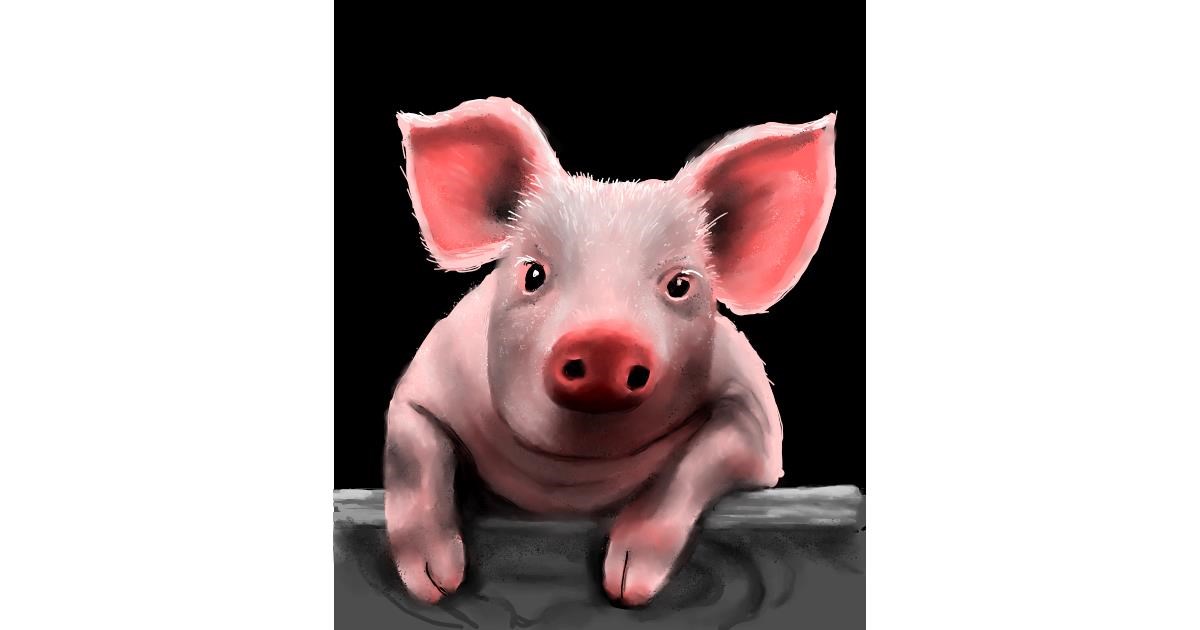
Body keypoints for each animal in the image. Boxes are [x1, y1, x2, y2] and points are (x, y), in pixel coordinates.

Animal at [385, 97, 836, 607]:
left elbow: (697, 462)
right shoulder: (421, 386)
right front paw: (436, 586)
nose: (604, 342)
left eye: (680, 285)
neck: (565, 488)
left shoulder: (756, 420)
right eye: (533, 273)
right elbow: (413, 457)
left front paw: (627, 588)